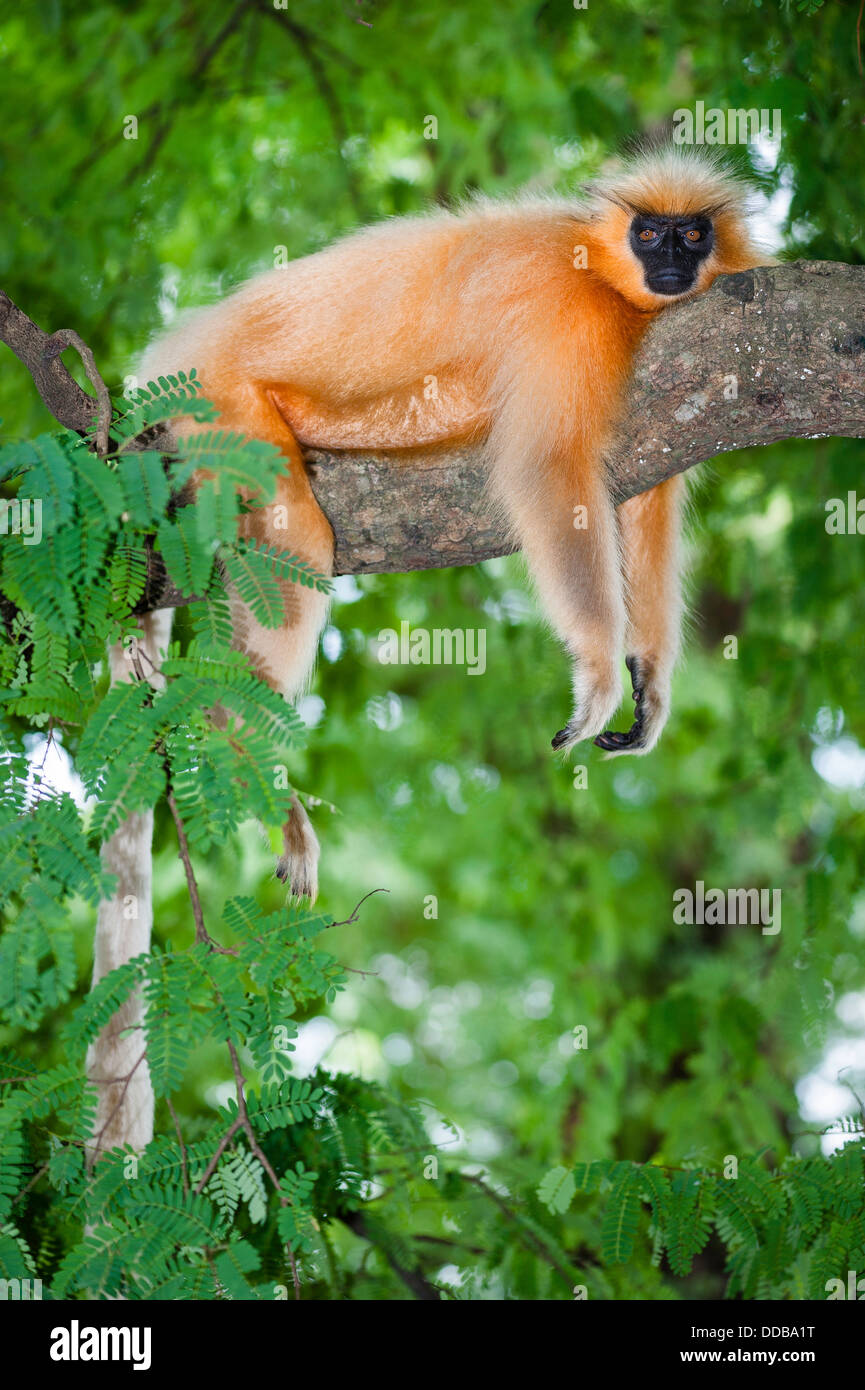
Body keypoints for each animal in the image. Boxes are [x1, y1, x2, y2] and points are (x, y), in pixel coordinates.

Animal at [138, 145, 765, 902]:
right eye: (648, 233)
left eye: (692, 233)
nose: (671, 259)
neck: (596, 268)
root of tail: (172, 352)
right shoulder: (563, 310)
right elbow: (545, 472)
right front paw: (597, 674)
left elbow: (644, 497)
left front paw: (649, 681)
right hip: (217, 398)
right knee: (301, 541)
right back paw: (251, 756)